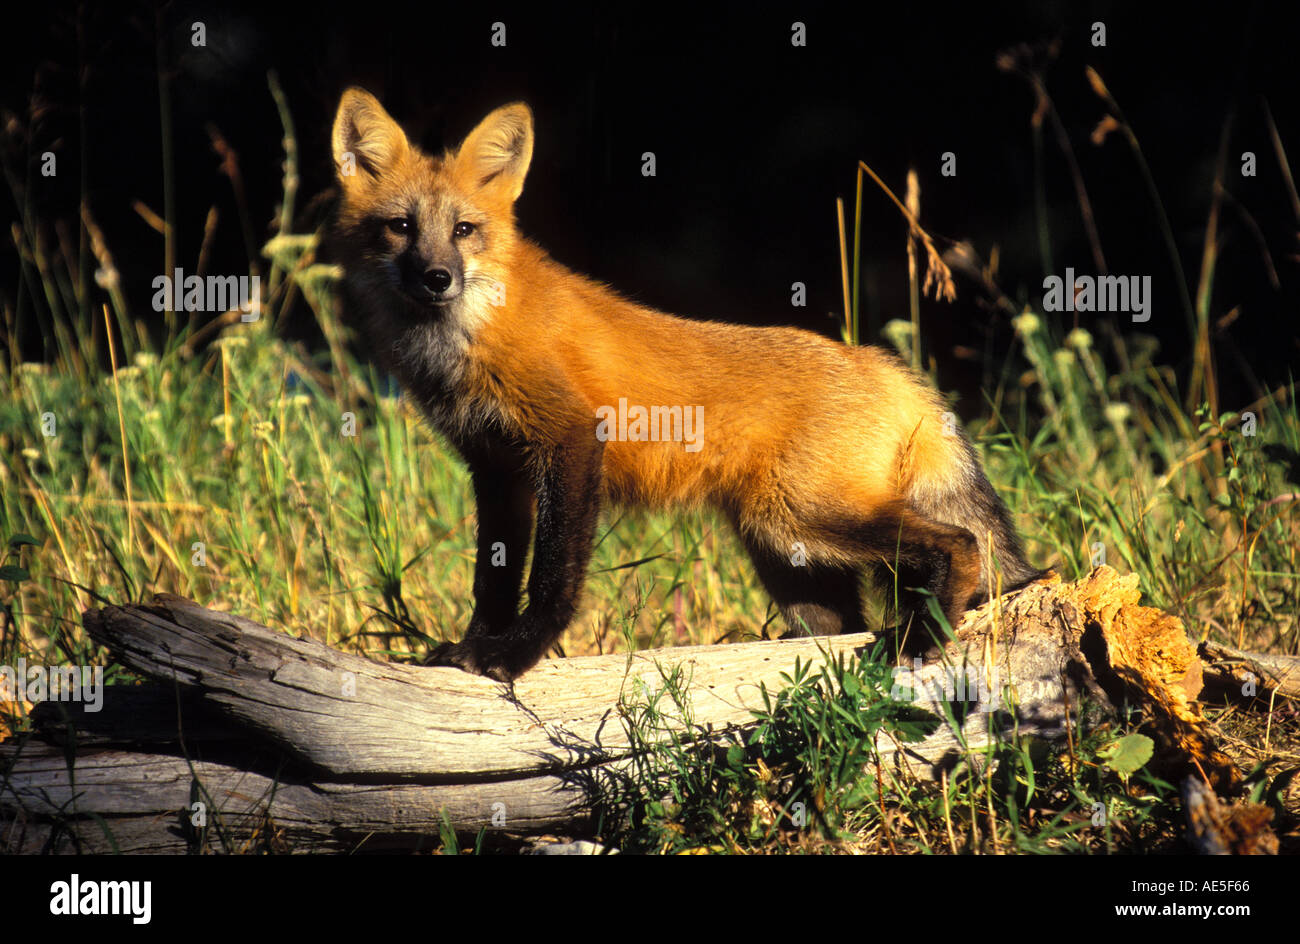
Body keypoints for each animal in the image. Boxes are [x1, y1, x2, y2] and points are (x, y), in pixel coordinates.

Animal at [328, 89, 1046, 682]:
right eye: (400, 226)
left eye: (464, 230)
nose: (437, 278)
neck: (471, 335)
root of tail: (881, 361)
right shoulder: (494, 466)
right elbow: (491, 582)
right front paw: (474, 647)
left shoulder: (570, 440)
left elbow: (552, 579)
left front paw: (518, 655)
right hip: (789, 555)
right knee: (841, 627)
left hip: (800, 514)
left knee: (958, 543)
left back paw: (926, 633)